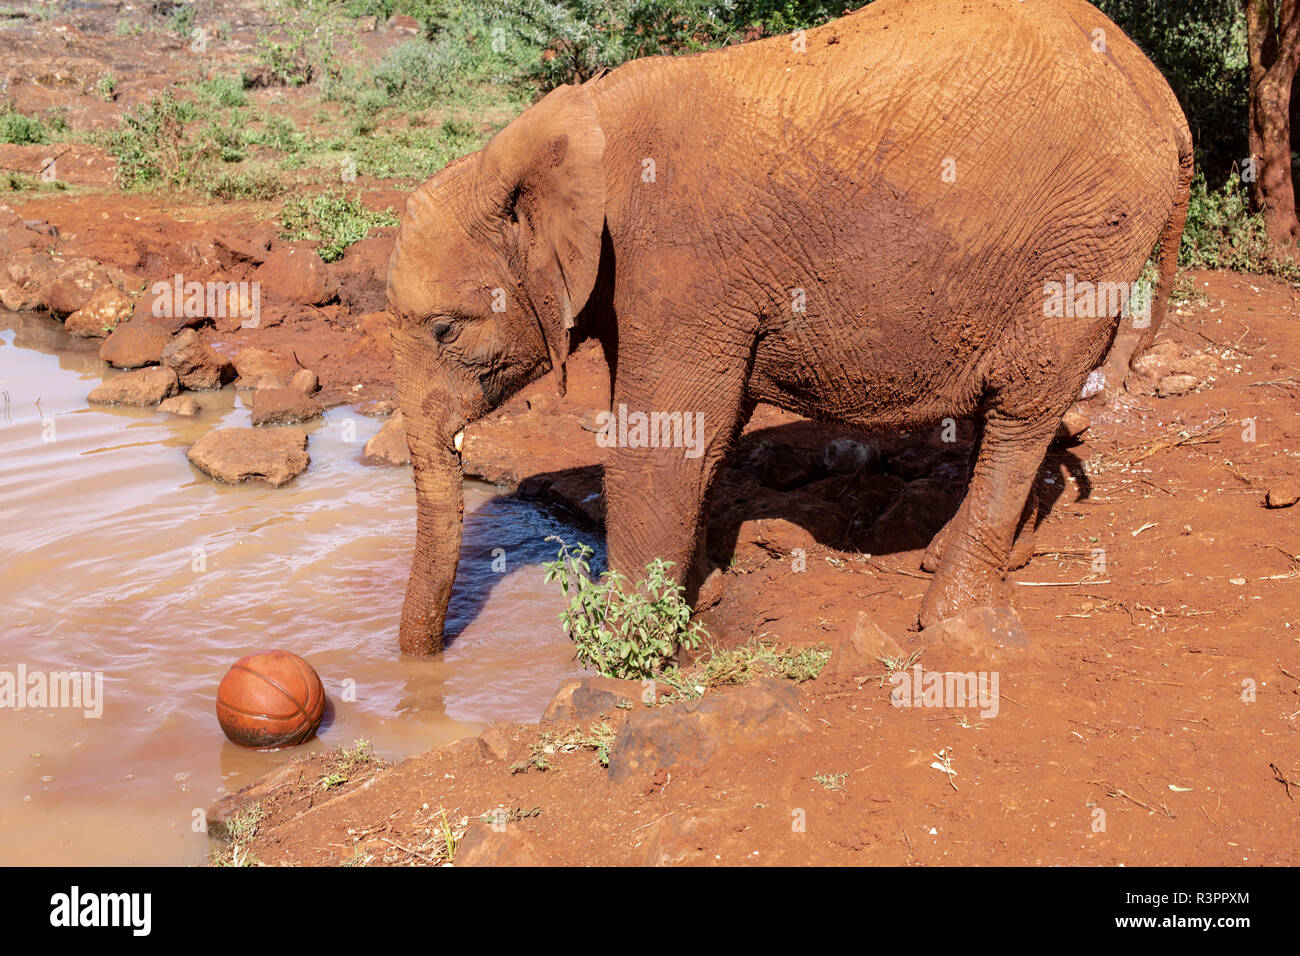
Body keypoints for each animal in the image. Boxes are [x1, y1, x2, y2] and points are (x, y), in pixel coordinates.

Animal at [385, 0, 1194, 655]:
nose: (423, 660)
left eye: (444, 331)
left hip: (1085, 230)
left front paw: (619, 648)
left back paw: (953, 616)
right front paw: (695, 598)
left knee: (1025, 402)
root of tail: (1157, 89)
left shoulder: (680, 257)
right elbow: (706, 430)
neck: (555, 137)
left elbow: (665, 432)